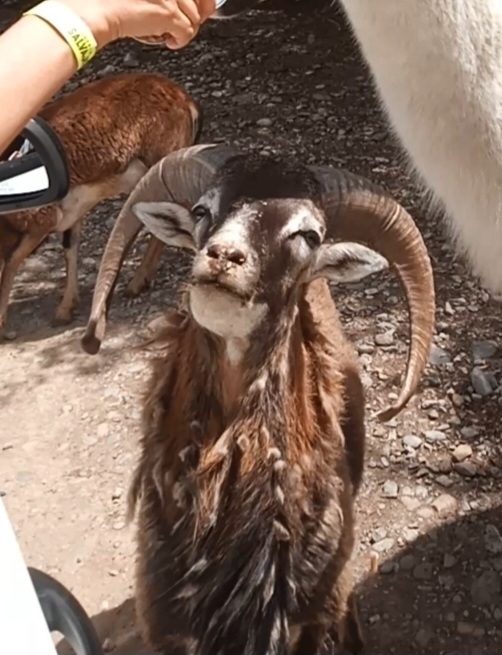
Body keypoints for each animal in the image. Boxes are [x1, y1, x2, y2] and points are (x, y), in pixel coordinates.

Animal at [0, 72, 201, 337]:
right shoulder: (72, 211)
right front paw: (65, 310)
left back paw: (136, 284)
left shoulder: (41, 219)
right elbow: (70, 247)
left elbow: (12, 261)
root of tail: (185, 101)